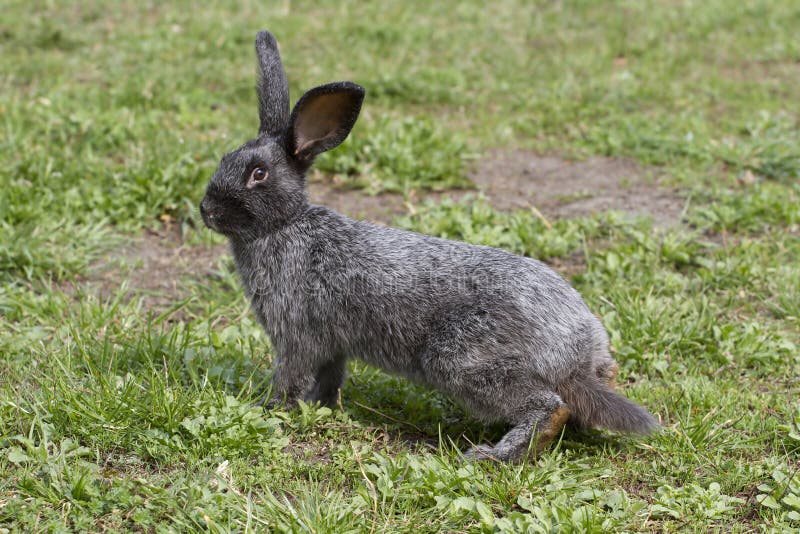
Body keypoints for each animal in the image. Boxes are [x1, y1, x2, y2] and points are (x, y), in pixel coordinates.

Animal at [199, 30, 658, 463]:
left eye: (257, 174)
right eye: (224, 159)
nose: (206, 211)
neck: (285, 225)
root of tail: (576, 352)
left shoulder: (296, 336)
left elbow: (291, 377)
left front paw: (270, 410)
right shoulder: (331, 347)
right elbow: (329, 379)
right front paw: (320, 407)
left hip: (461, 360)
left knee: (549, 407)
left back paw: (493, 455)